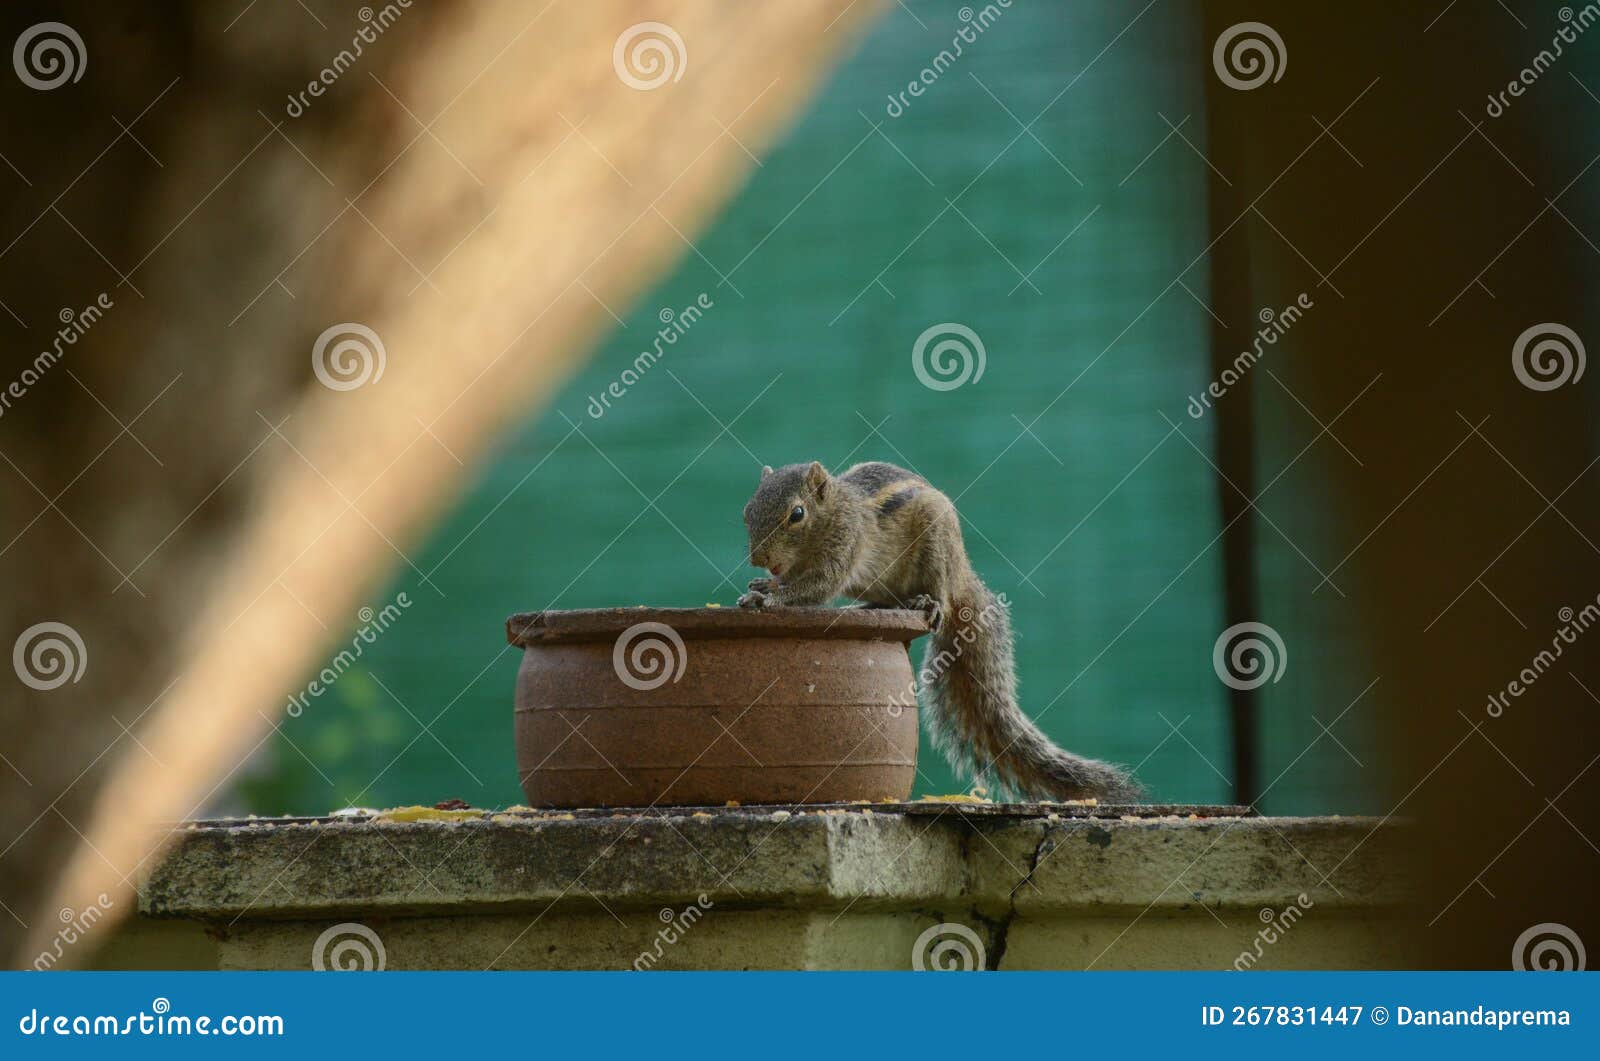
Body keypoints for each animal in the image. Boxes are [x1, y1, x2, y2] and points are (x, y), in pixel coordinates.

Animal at [737, 460, 1139, 803]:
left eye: (797, 514)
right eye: (746, 512)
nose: (759, 560)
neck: (834, 510)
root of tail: (963, 573)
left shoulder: (844, 544)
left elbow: (817, 587)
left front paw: (766, 599)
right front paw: (763, 586)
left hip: (937, 550)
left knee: (939, 591)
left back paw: (929, 603)